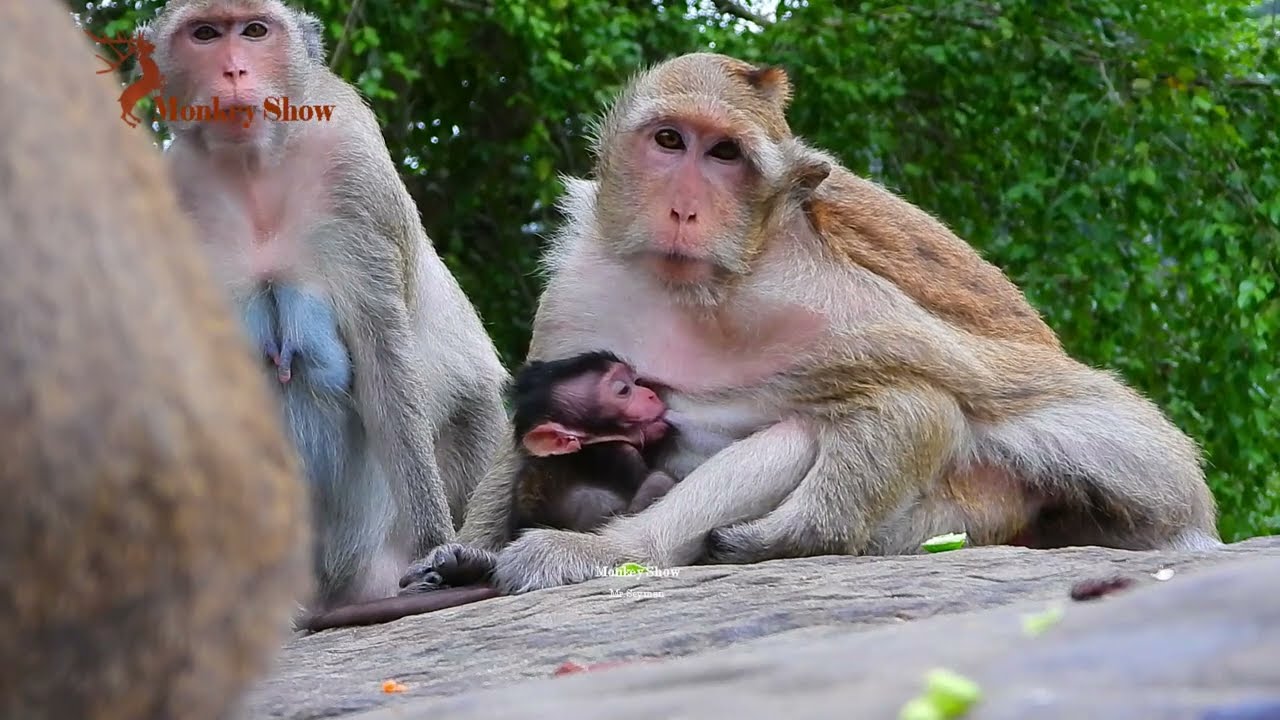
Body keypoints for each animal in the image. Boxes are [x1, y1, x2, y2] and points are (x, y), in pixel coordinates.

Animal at [139, 0, 510, 612]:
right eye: (206, 34)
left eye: (255, 31)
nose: (235, 70)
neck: (254, 172)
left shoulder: (353, 173)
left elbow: (386, 367)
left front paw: (440, 549)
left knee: (470, 404)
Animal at [401, 52, 1221, 596]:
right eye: (670, 141)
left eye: (724, 153)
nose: (684, 208)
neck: (695, 290)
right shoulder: (581, 281)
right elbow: (528, 421)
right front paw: (463, 551)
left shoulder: (815, 297)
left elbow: (918, 400)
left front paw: (799, 533)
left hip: (959, 509)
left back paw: (616, 550)